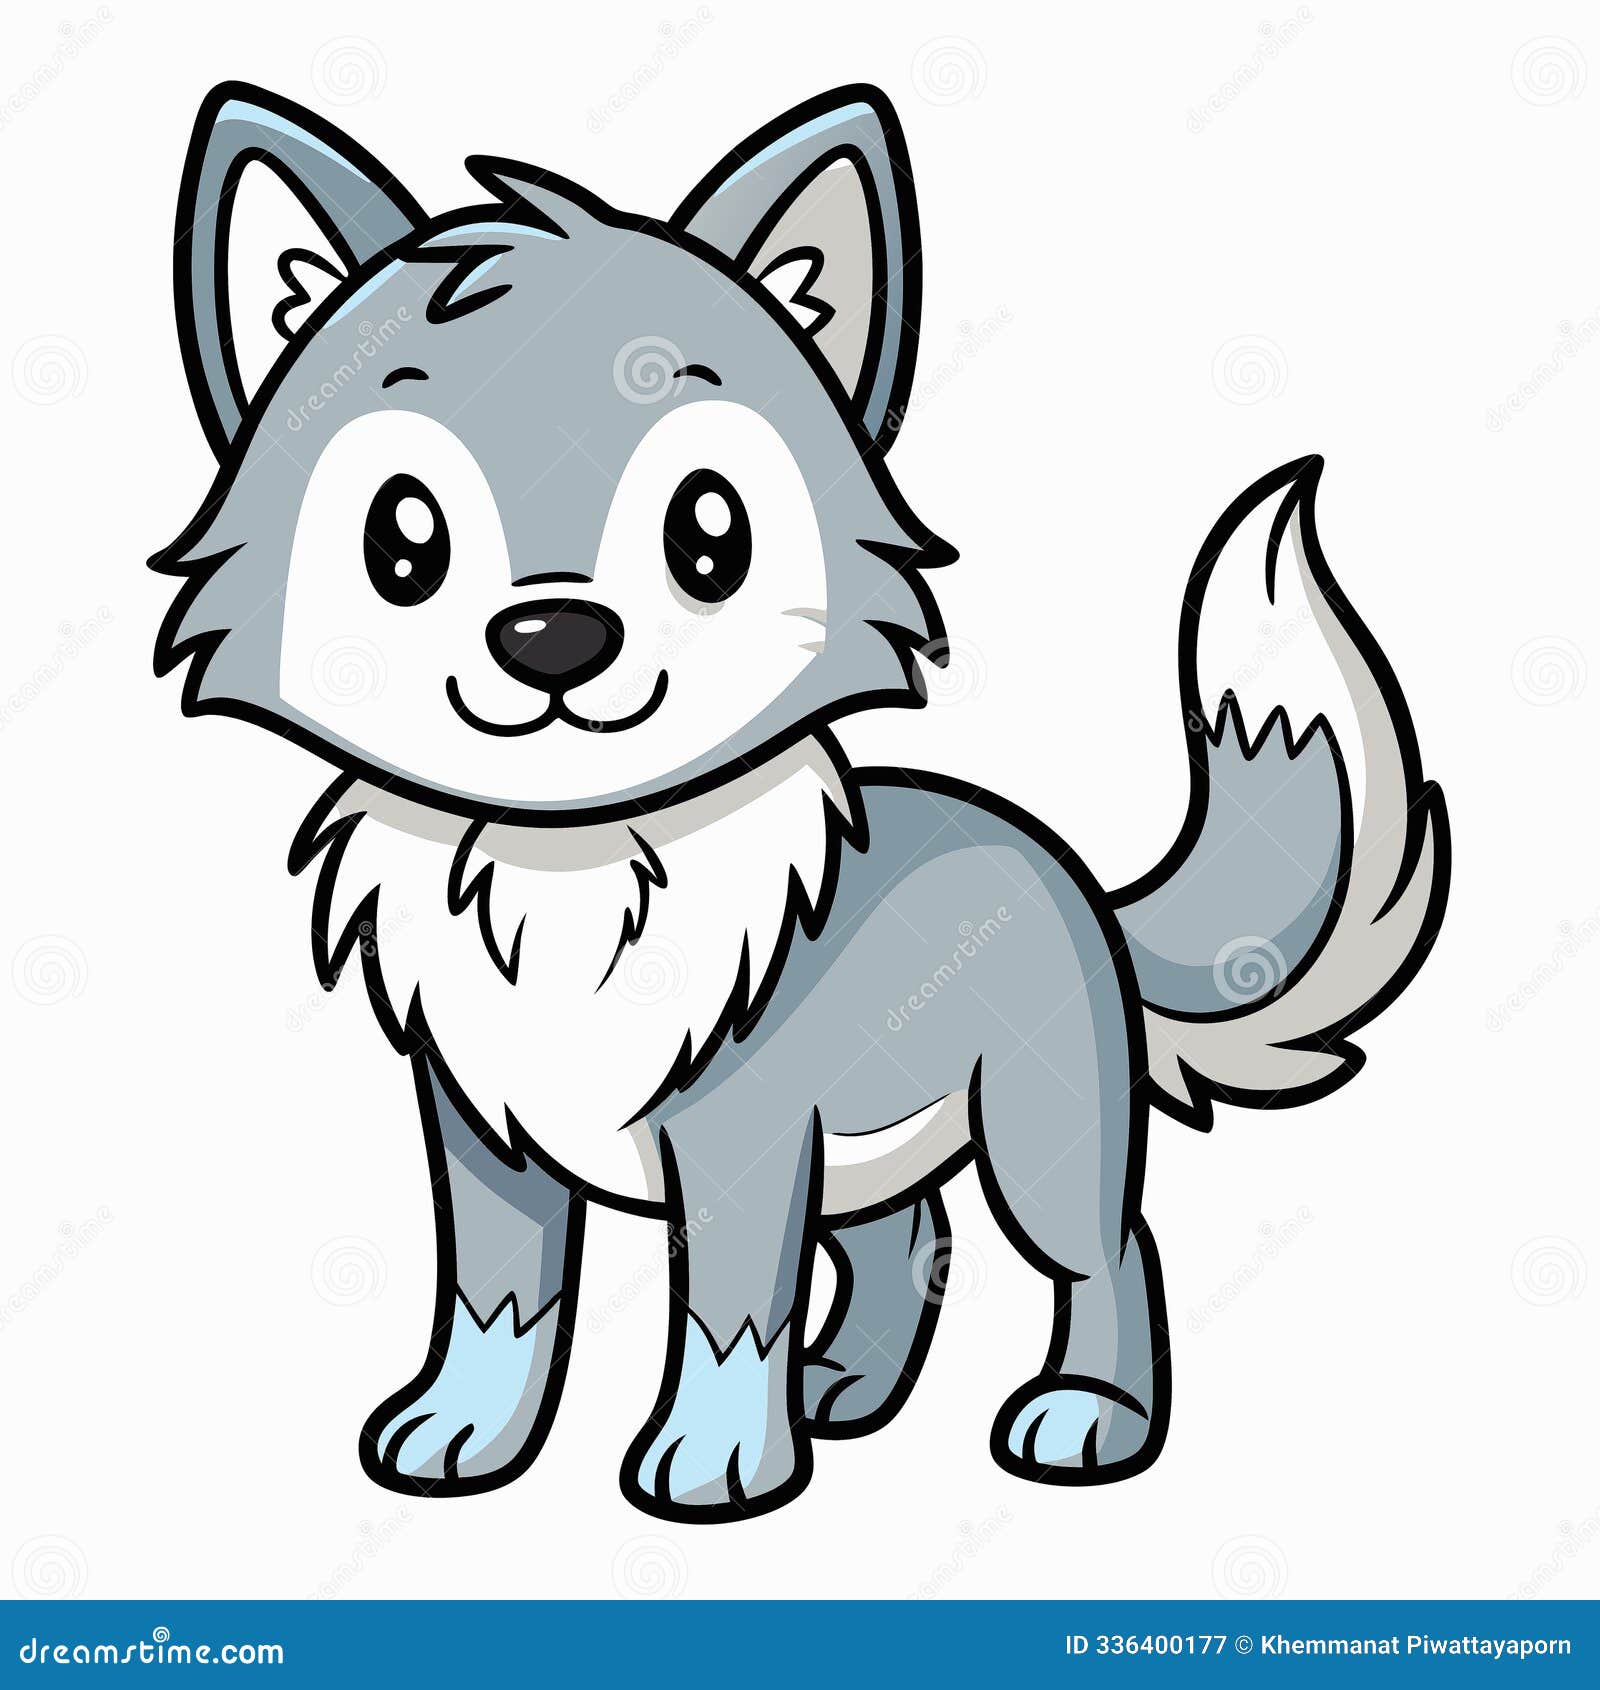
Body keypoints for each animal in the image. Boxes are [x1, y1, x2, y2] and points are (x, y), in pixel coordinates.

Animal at [153, 81, 1449, 1521]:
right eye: (403, 540)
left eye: (708, 535)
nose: (553, 637)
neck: (570, 874)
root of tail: (1053, 856)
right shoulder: (485, 1132)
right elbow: (497, 1299)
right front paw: (465, 1434)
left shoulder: (744, 1137)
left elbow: (727, 1311)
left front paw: (716, 1463)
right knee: (909, 1232)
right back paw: (847, 1387)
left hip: (1038, 1133)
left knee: (1106, 1246)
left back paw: (1087, 1417)